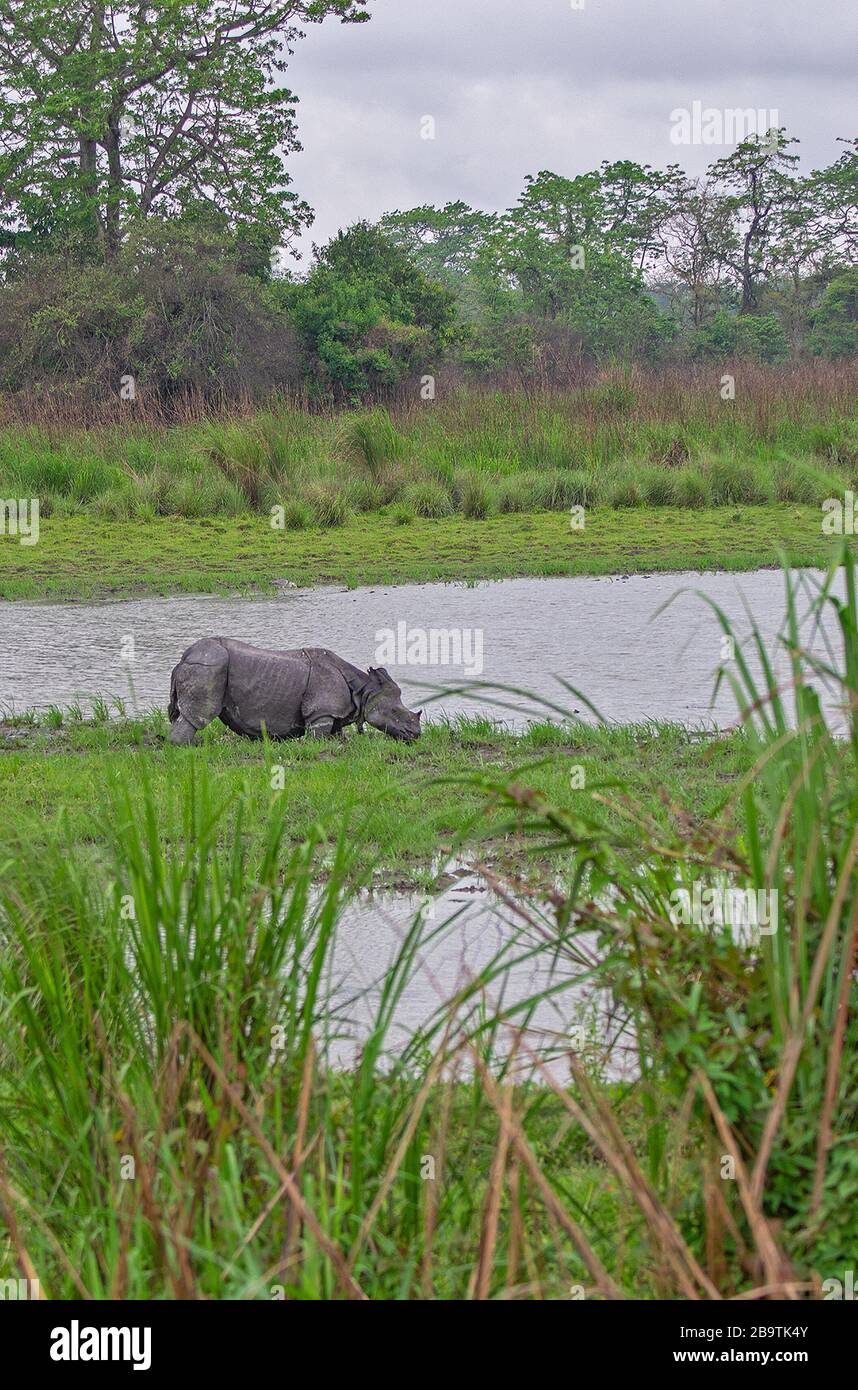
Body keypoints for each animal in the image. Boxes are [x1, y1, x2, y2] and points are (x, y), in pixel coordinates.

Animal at [168, 637, 422, 746]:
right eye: (394, 712)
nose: (416, 735)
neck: (364, 691)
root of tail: (184, 657)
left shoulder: (334, 712)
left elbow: (338, 732)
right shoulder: (321, 712)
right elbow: (318, 736)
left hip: (204, 664)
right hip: (208, 666)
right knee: (198, 715)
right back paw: (188, 748)